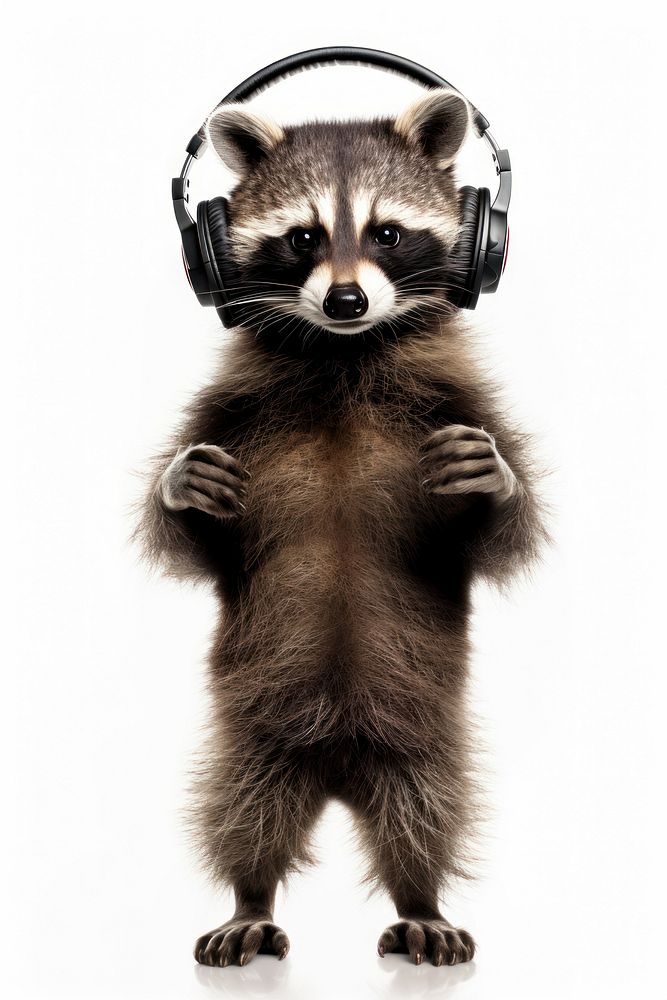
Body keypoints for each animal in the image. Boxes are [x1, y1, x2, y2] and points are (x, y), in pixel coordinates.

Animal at [138, 87, 546, 968]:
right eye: (303, 238)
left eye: (386, 233)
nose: (347, 301)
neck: (341, 355)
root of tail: (336, 766)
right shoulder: (225, 410)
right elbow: (192, 542)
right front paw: (180, 489)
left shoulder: (459, 401)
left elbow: (503, 533)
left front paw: (494, 481)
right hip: (256, 731)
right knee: (242, 809)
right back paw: (249, 896)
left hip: (419, 736)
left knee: (426, 810)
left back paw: (420, 897)